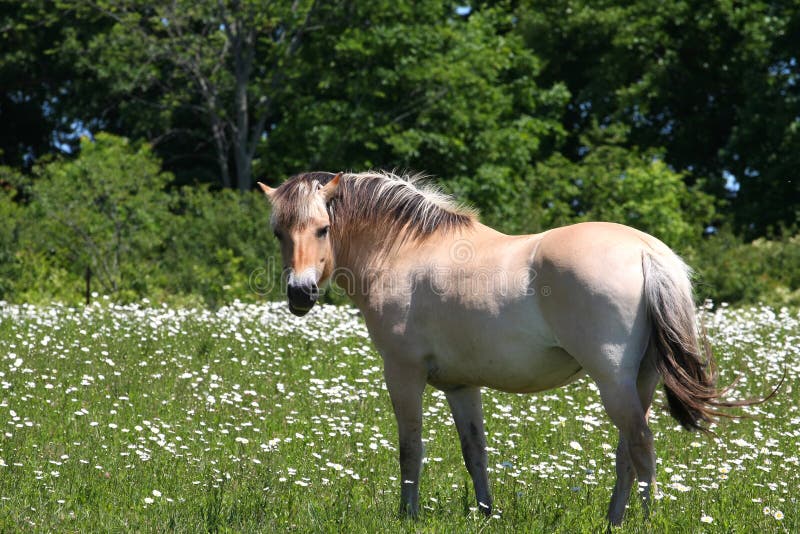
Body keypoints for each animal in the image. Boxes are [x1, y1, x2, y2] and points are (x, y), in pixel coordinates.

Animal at [257, 170, 733, 525]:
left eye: (323, 229)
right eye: (278, 232)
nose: (299, 294)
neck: (404, 250)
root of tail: (647, 252)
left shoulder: (403, 373)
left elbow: (411, 449)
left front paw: (408, 515)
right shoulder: (461, 386)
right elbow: (475, 452)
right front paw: (486, 513)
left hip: (613, 379)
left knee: (641, 446)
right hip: (642, 380)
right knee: (627, 453)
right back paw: (613, 520)